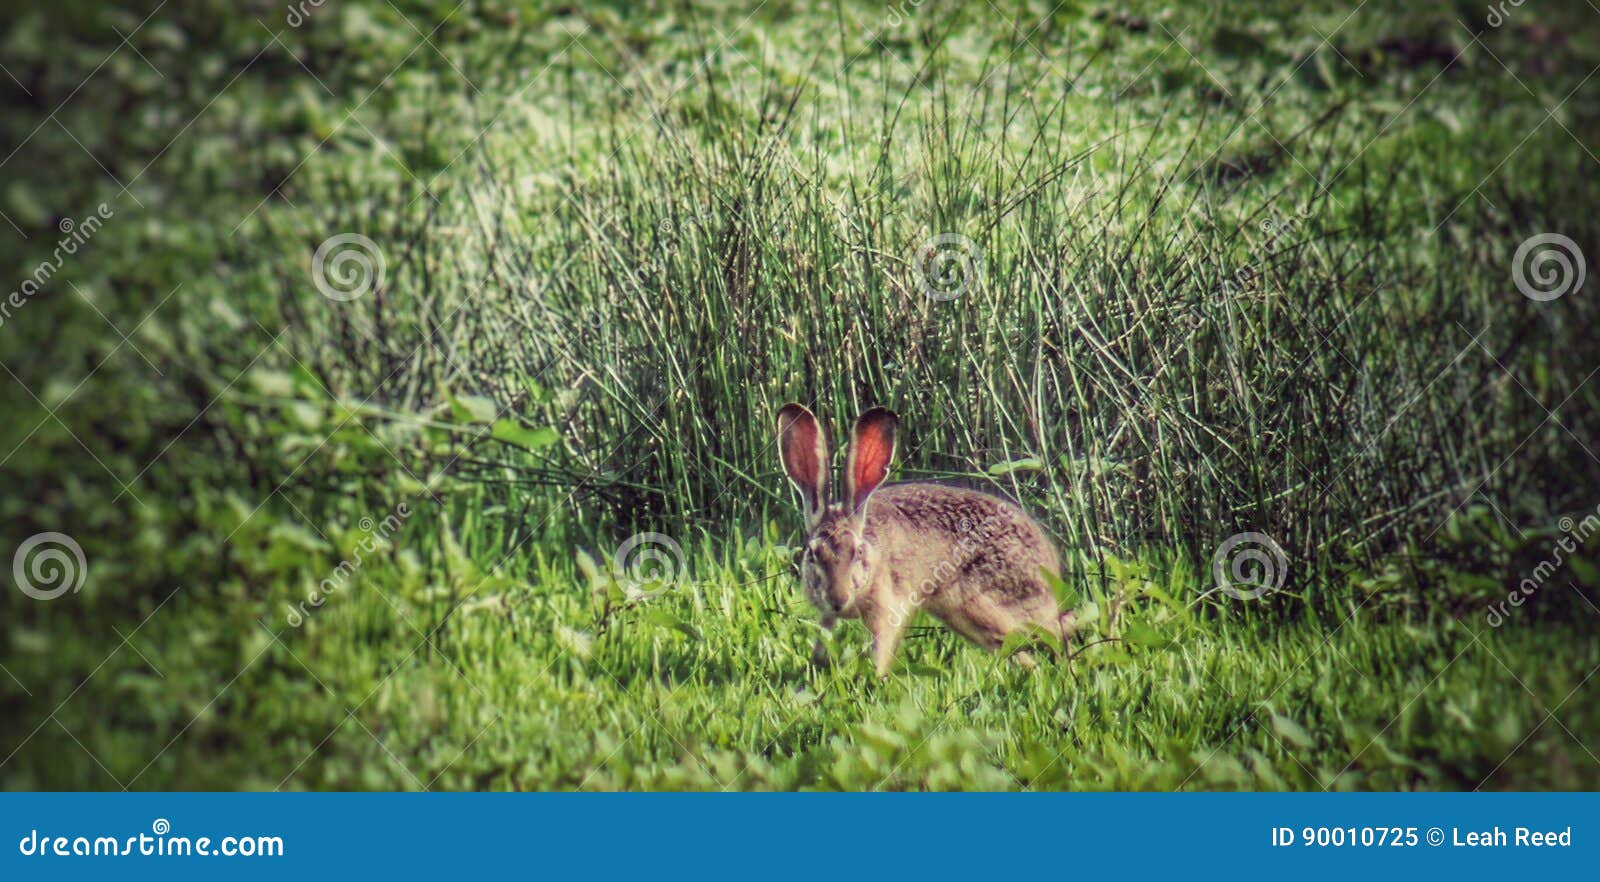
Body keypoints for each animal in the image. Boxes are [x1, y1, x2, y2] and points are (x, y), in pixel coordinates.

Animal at [777, 402, 1089, 676]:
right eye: (813, 553)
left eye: (857, 553)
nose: (838, 598)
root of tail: (1050, 576)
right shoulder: (826, 614)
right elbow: (824, 637)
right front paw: (817, 666)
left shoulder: (886, 606)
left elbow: (881, 645)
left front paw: (875, 678)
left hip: (978, 604)